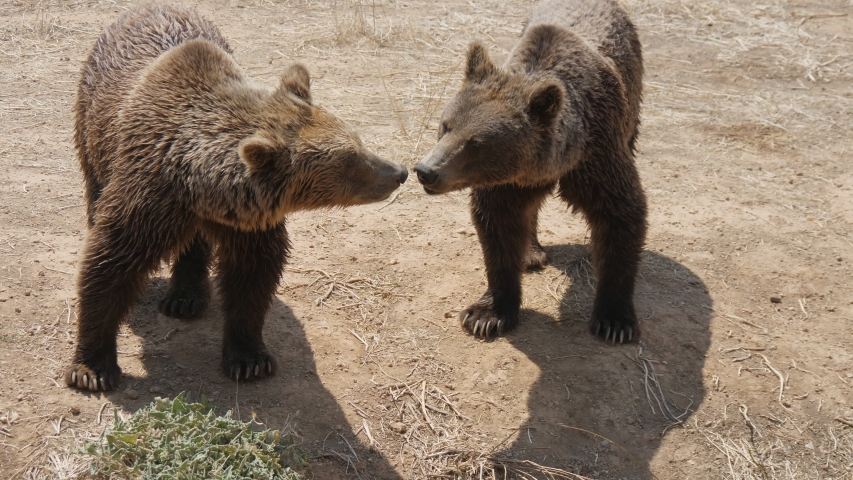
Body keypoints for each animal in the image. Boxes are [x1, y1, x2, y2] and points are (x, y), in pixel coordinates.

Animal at [66, 4, 408, 391]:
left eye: (358, 142)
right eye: (350, 161)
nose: (398, 171)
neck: (197, 190)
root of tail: (146, 8)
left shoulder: (247, 220)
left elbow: (253, 275)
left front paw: (249, 359)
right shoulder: (148, 196)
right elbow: (109, 264)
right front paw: (91, 368)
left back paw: (185, 297)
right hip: (91, 126)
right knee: (95, 192)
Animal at [413, 0, 647, 342]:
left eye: (475, 143)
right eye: (446, 125)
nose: (426, 170)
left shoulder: (598, 152)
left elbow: (620, 214)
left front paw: (614, 321)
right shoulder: (507, 183)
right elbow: (498, 227)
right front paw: (487, 314)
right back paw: (531, 253)